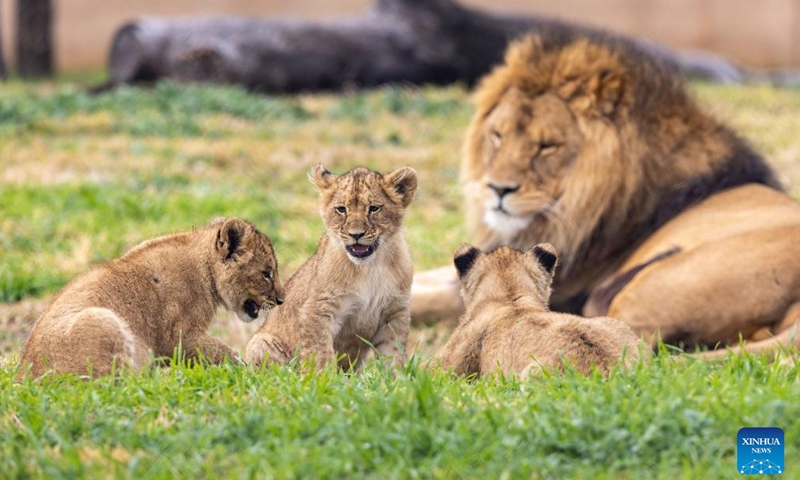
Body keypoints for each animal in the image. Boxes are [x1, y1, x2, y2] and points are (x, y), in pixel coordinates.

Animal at [18, 218, 285, 378]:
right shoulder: (178, 337)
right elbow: (225, 354)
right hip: (101, 319)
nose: (281, 300)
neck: (205, 268)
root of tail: (23, 377)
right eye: (266, 273)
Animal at [245, 165, 417, 371]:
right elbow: (320, 353)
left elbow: (393, 355)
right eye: (341, 209)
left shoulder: (395, 313)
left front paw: (394, 377)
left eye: (374, 208)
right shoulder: (317, 309)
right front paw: (323, 377)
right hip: (260, 342)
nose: (356, 235)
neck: (371, 267)